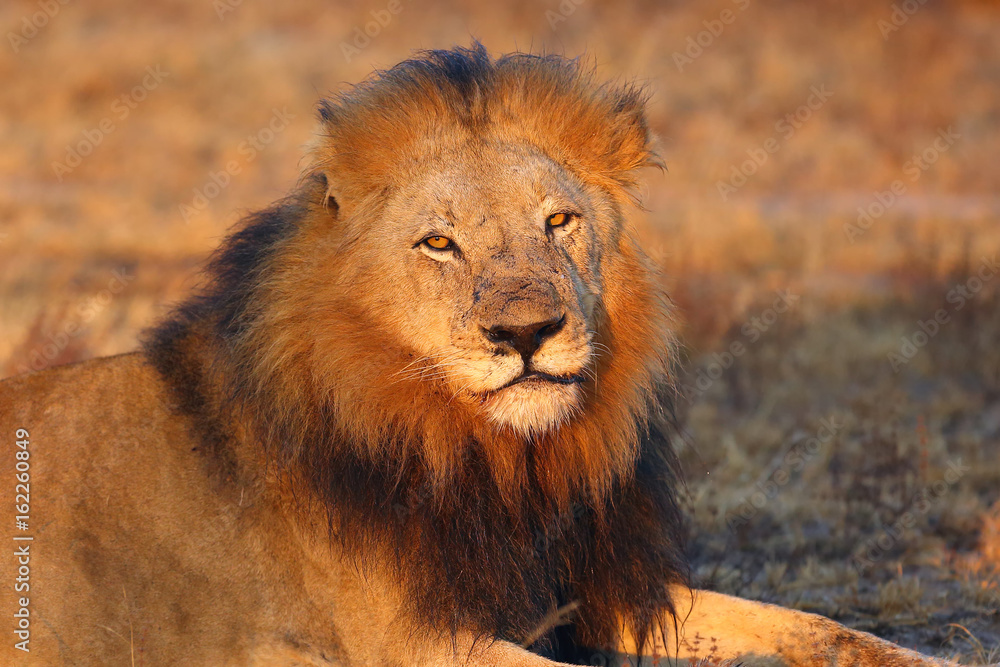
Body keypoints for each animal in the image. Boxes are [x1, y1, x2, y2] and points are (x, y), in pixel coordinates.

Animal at [1, 45, 958, 666]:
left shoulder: (596, 590)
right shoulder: (407, 639)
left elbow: (823, 626)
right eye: (440, 244)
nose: (527, 333)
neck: (505, 466)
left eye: (558, 221)